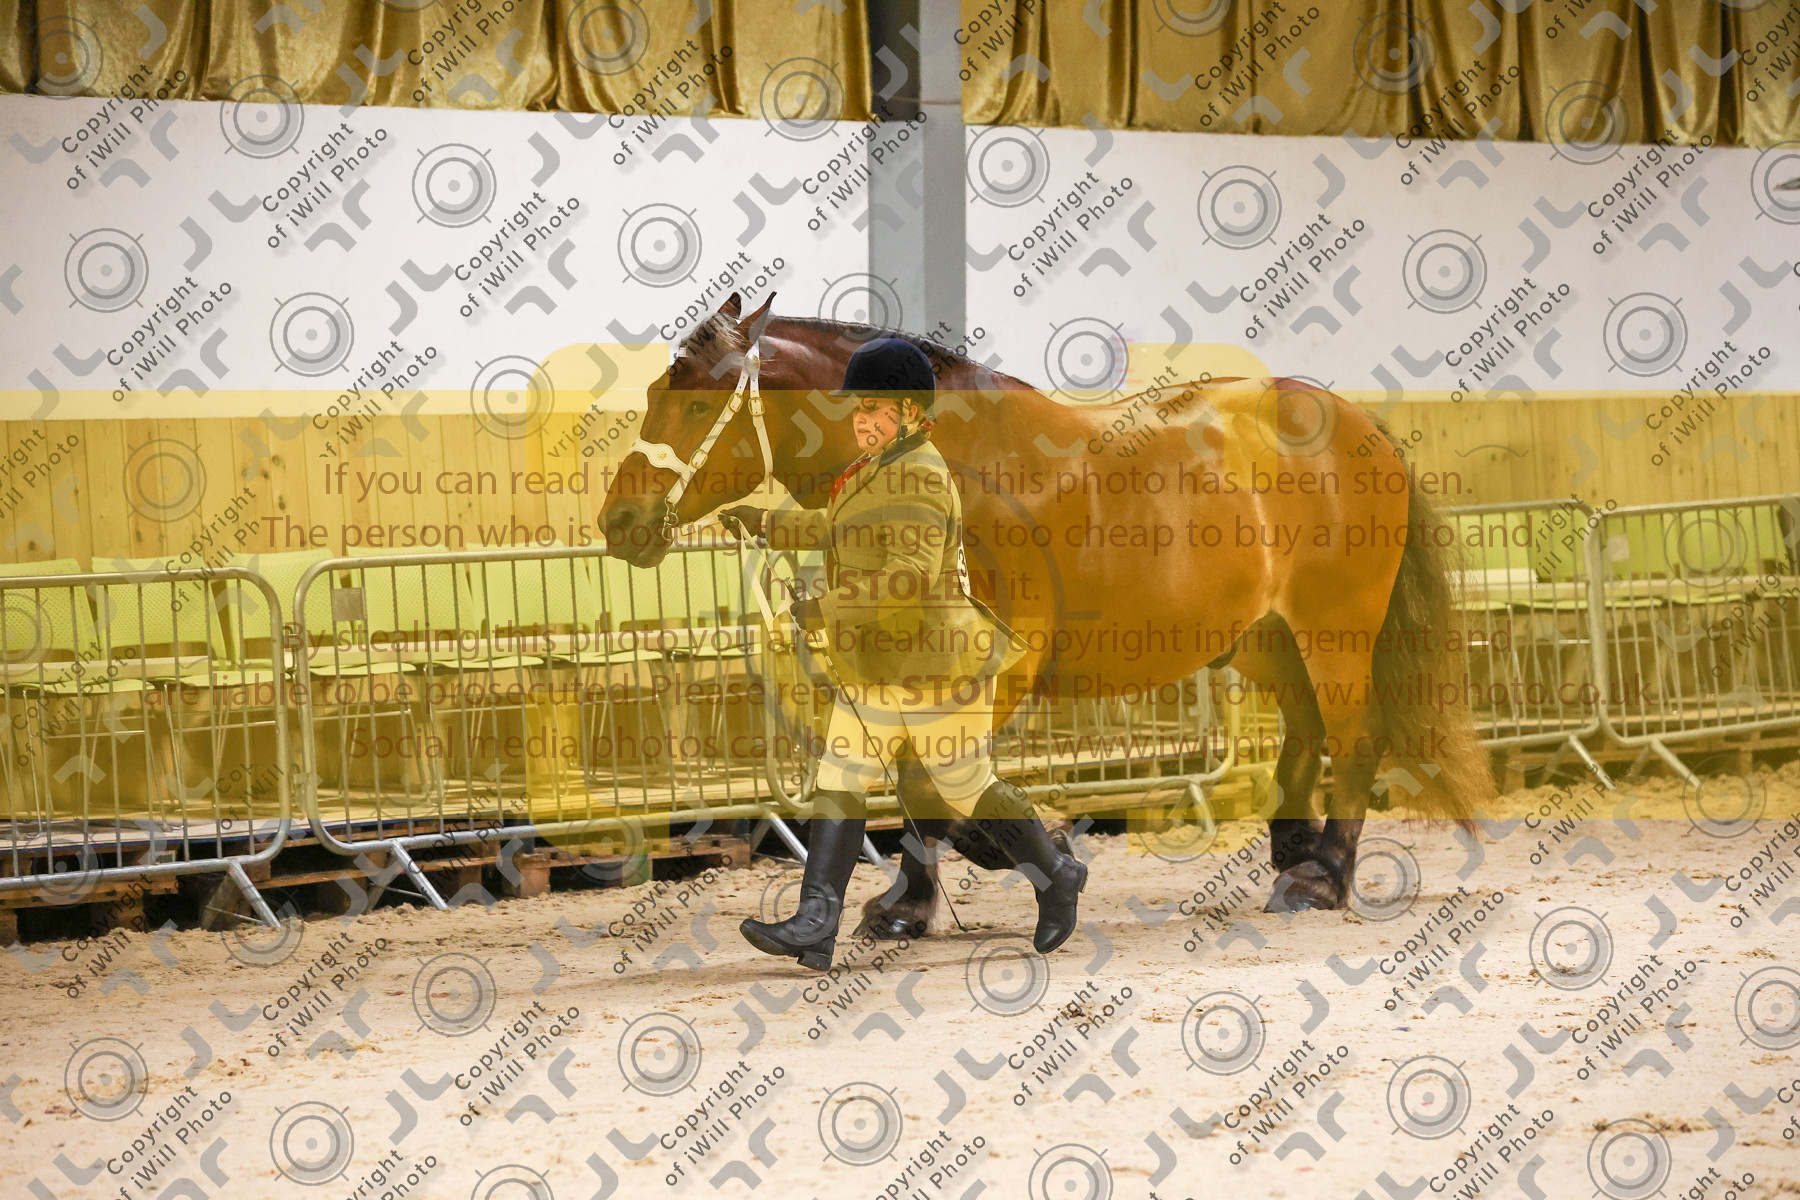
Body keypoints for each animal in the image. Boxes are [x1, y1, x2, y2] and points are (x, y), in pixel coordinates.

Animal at [599, 290, 1493, 927]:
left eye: (693, 404)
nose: (620, 522)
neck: (940, 461)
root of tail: (1354, 421)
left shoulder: (1001, 665)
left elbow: (943, 783)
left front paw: (986, 873)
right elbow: (924, 782)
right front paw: (925, 897)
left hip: (1334, 631)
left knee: (1355, 735)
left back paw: (1326, 876)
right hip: (1266, 638)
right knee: (1306, 732)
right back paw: (1291, 853)